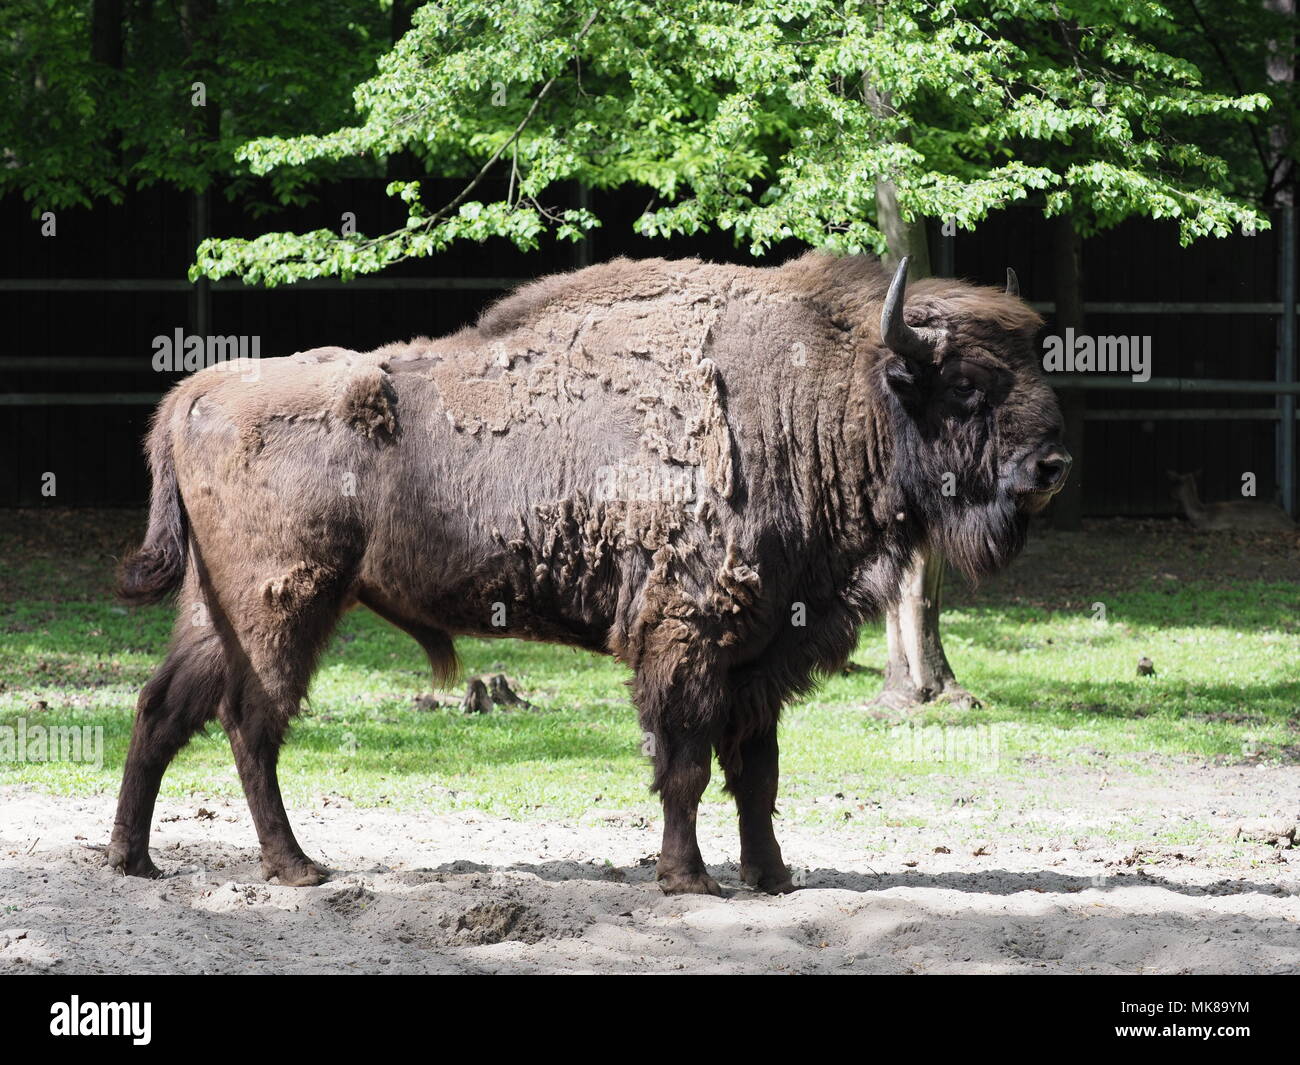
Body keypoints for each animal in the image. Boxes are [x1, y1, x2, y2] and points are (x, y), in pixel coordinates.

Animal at [112, 252, 1069, 895]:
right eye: (970, 386)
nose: (1051, 465)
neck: (816, 395)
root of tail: (193, 394)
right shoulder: (688, 638)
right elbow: (685, 763)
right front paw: (689, 878)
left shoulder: (762, 651)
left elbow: (756, 771)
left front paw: (773, 876)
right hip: (288, 603)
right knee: (250, 722)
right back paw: (297, 867)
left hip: (217, 610)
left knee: (165, 707)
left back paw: (135, 857)